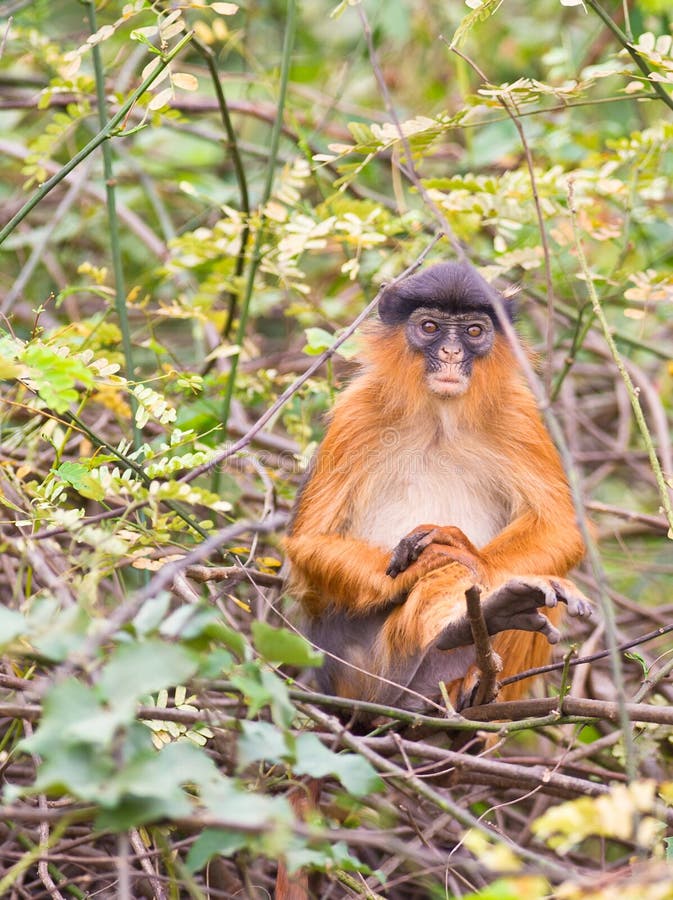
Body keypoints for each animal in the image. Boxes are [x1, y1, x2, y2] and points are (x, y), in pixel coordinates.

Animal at [284, 261, 592, 713]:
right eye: (430, 327)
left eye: (474, 331)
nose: (451, 353)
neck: (439, 420)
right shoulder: (357, 412)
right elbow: (309, 543)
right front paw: (426, 564)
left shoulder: (519, 413)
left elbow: (560, 532)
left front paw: (463, 551)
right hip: (349, 668)